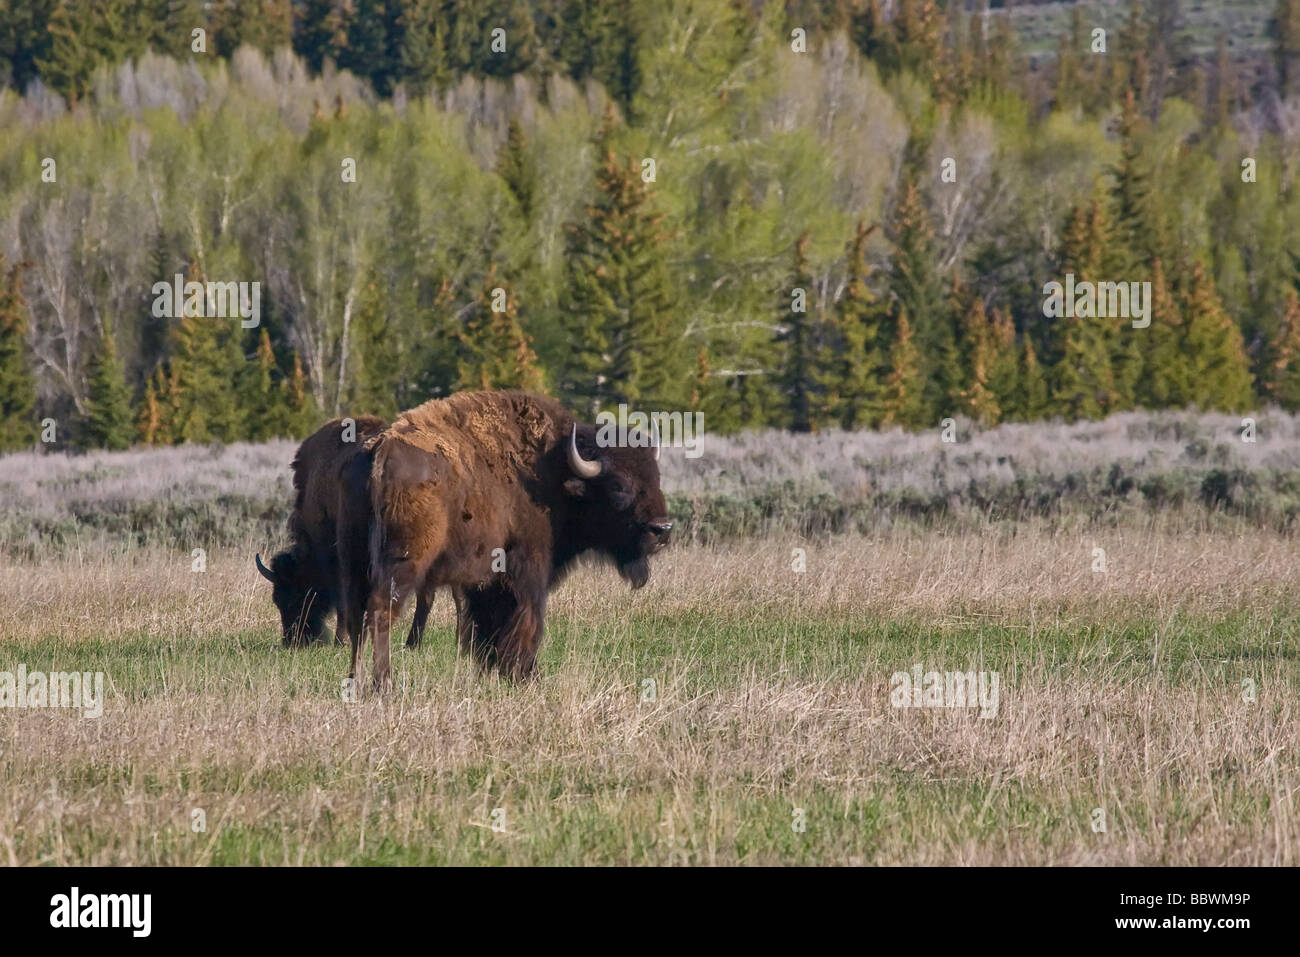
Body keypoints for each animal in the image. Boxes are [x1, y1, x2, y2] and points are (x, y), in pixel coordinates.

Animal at [337, 390, 672, 690]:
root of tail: (380, 452)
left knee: (356, 618)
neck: (556, 471)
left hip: (355, 561)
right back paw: (384, 684)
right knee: (381, 611)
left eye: (656, 477)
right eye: (618, 485)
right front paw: (526, 675)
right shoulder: (526, 569)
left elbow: (489, 626)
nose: (662, 529)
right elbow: (526, 619)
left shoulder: (484, 582)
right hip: (403, 561)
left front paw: (492, 671)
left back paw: (354, 682)